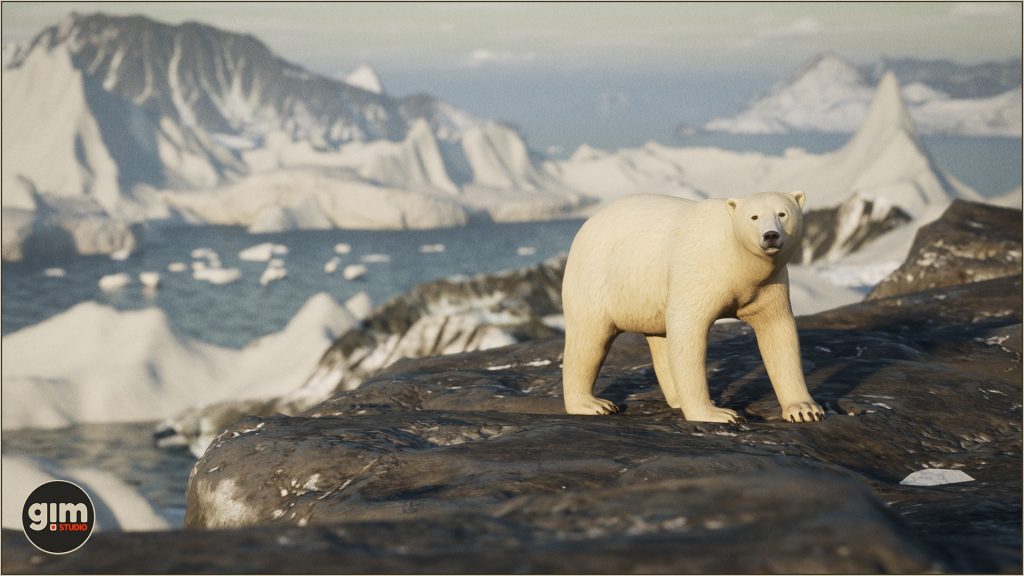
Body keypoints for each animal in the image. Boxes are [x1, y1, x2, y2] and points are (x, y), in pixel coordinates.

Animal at [561, 191, 824, 424]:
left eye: (782, 213)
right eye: (754, 217)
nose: (770, 236)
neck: (737, 258)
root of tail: (586, 225)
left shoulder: (769, 285)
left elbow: (779, 333)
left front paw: (805, 409)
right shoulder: (701, 271)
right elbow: (689, 332)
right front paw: (718, 414)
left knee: (661, 339)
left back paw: (676, 398)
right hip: (597, 279)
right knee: (589, 340)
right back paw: (593, 404)